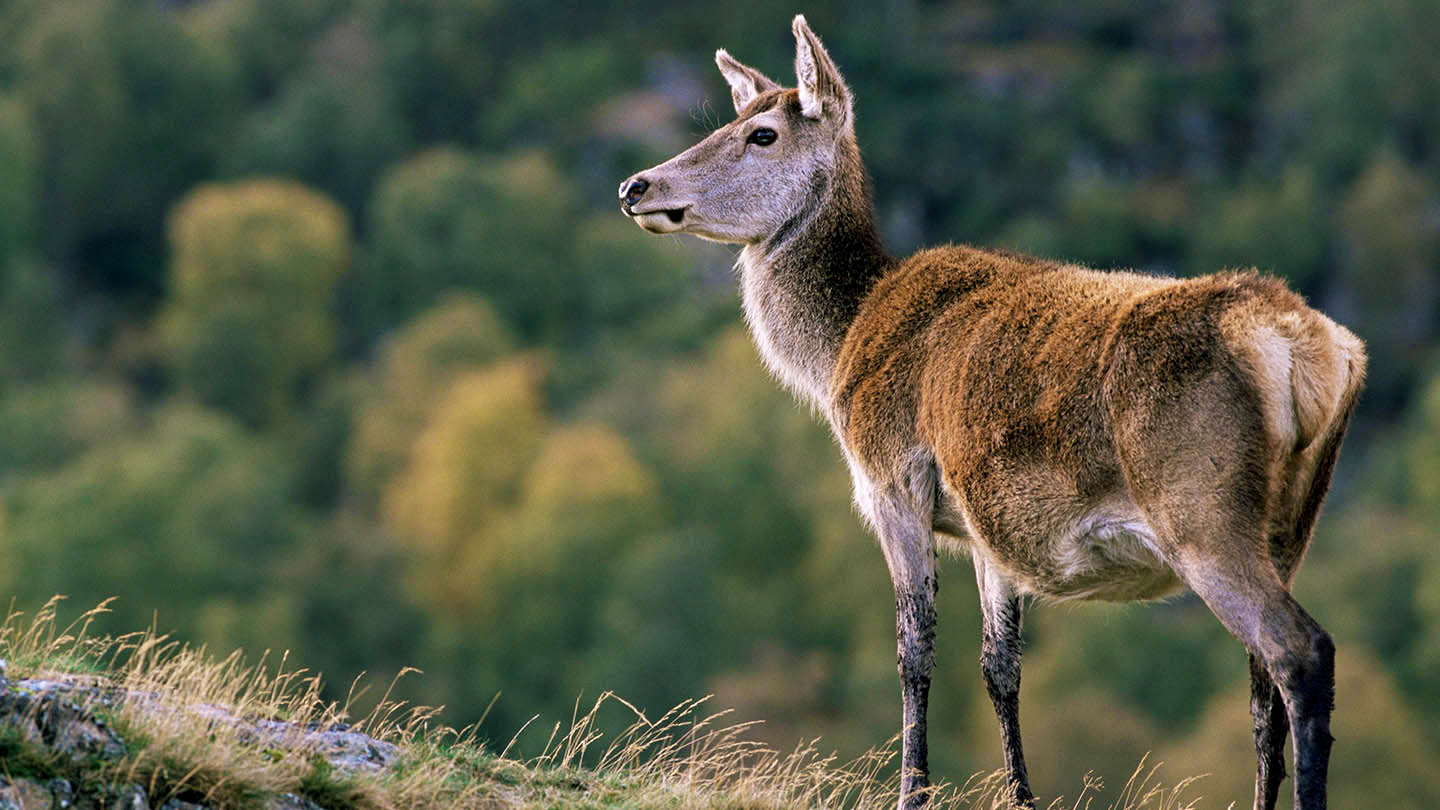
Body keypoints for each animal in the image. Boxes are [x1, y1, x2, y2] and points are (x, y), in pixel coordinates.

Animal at [618, 15, 1365, 810]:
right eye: (725, 120)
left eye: (762, 133)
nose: (635, 185)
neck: (837, 350)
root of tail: (1313, 351)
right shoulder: (985, 526)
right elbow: (1000, 667)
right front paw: (1021, 795)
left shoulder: (892, 482)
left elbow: (914, 651)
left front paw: (912, 791)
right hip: (1292, 521)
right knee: (1261, 689)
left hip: (1201, 508)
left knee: (1299, 651)